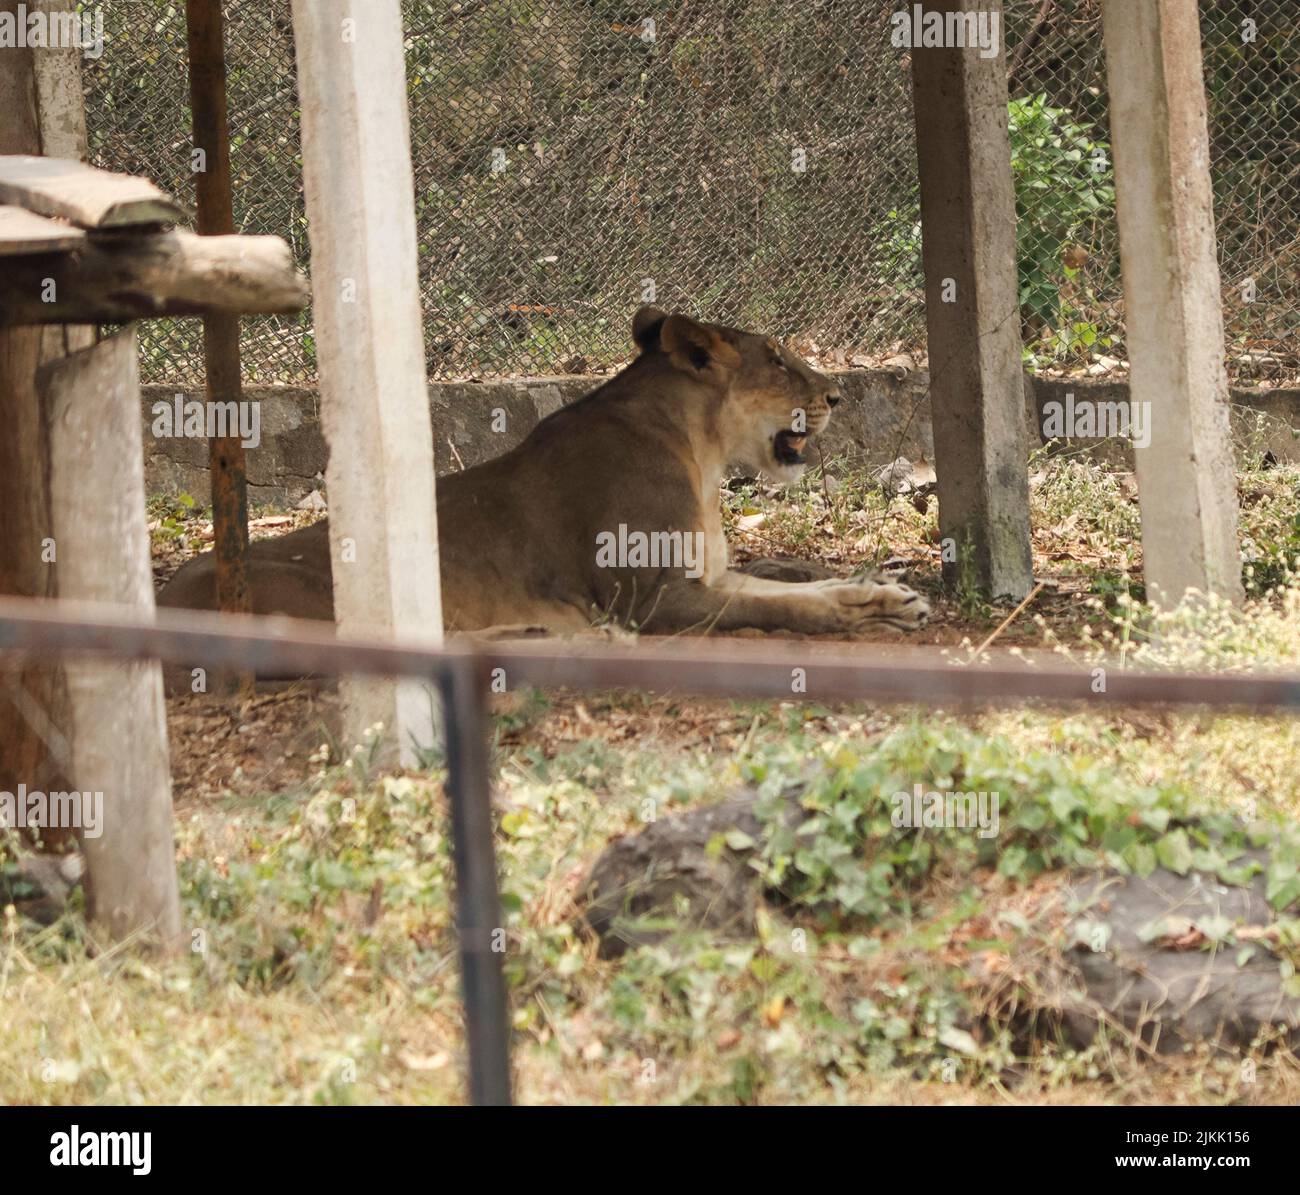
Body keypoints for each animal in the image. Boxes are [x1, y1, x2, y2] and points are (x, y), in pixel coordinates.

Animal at [158, 307, 930, 638]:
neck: (704, 451)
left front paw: (889, 595)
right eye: (775, 358)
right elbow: (783, 606)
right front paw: (865, 613)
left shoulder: (700, 573)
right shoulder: (647, 596)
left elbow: (800, 584)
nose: (837, 395)